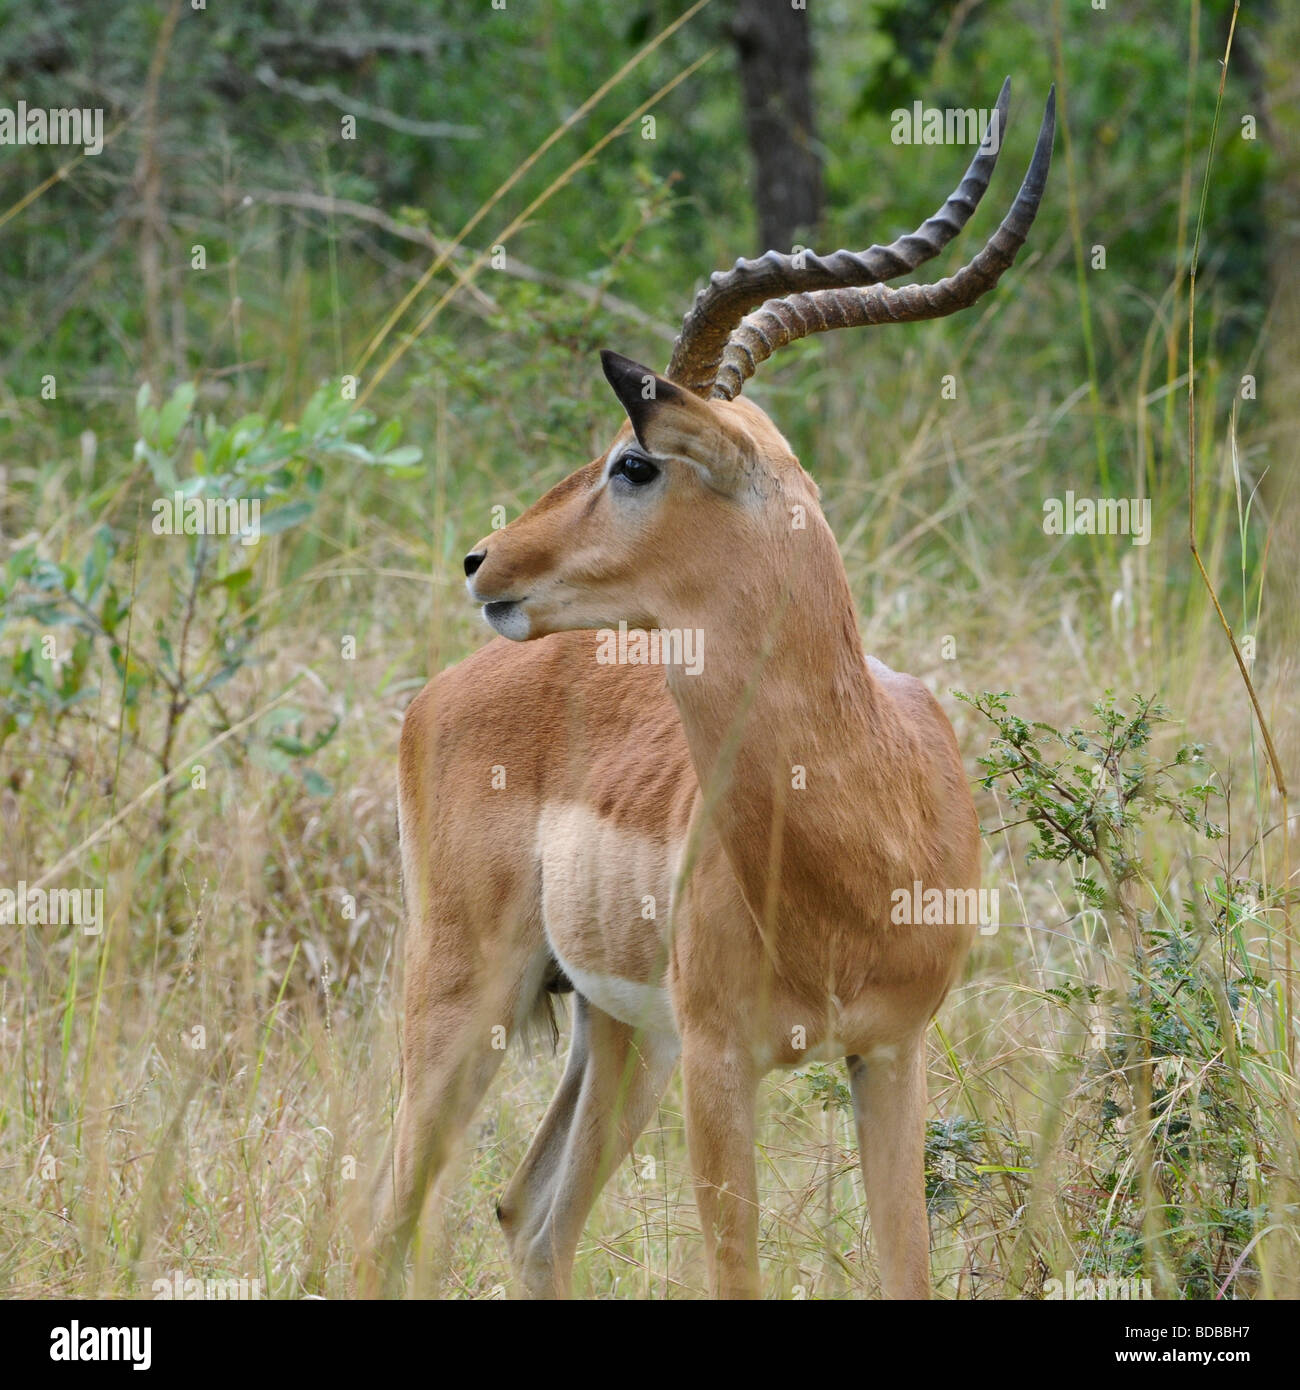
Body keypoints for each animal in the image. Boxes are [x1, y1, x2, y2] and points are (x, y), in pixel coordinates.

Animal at [371, 80, 1054, 1299]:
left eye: (634, 461)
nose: (484, 562)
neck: (862, 824)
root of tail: (444, 688)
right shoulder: (726, 1067)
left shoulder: (890, 1053)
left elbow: (904, 1266)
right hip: (469, 1002)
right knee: (375, 1223)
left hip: (618, 1034)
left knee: (529, 1212)